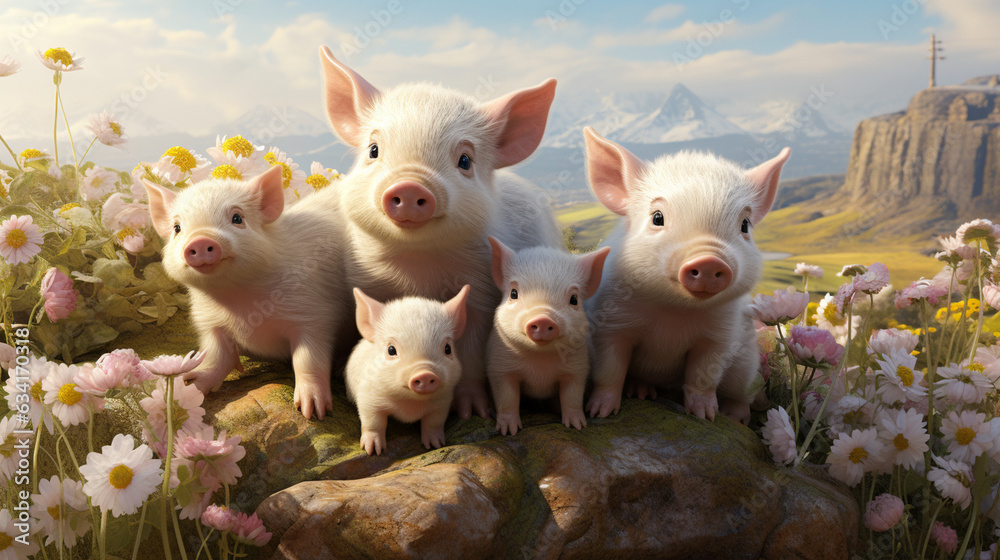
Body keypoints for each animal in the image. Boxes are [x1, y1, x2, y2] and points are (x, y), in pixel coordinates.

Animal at [144, 165, 348, 420]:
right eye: (177, 228)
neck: (238, 303)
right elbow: (217, 357)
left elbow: (308, 359)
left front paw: (313, 411)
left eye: (237, 218)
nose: (200, 240)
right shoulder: (210, 323)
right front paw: (188, 384)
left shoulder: (316, 312)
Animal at [318, 45, 563, 420]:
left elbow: (472, 354)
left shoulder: (480, 291)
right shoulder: (366, 279)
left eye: (464, 160)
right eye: (373, 150)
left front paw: (473, 412)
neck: (419, 265)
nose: (408, 185)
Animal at [345, 286, 470, 455]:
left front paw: (435, 446)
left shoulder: (443, 401)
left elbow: (434, 422)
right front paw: (373, 450)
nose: (424, 373)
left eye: (447, 348)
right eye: (391, 350)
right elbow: (373, 422)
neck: (410, 405)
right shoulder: (368, 398)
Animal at [486, 237, 610, 435]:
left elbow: (572, 397)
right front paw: (509, 431)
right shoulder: (499, 367)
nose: (543, 318)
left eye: (574, 299)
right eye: (513, 293)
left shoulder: (577, 368)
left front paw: (577, 426)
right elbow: (507, 398)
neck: (540, 361)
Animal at [581, 127, 790, 424]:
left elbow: (703, 377)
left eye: (744, 225)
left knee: (744, 393)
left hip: (747, 365)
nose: (709, 259)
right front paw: (599, 413)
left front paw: (706, 417)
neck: (674, 313)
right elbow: (609, 371)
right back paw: (641, 392)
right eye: (657, 217)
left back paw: (735, 417)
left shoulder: (719, 338)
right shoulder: (610, 325)